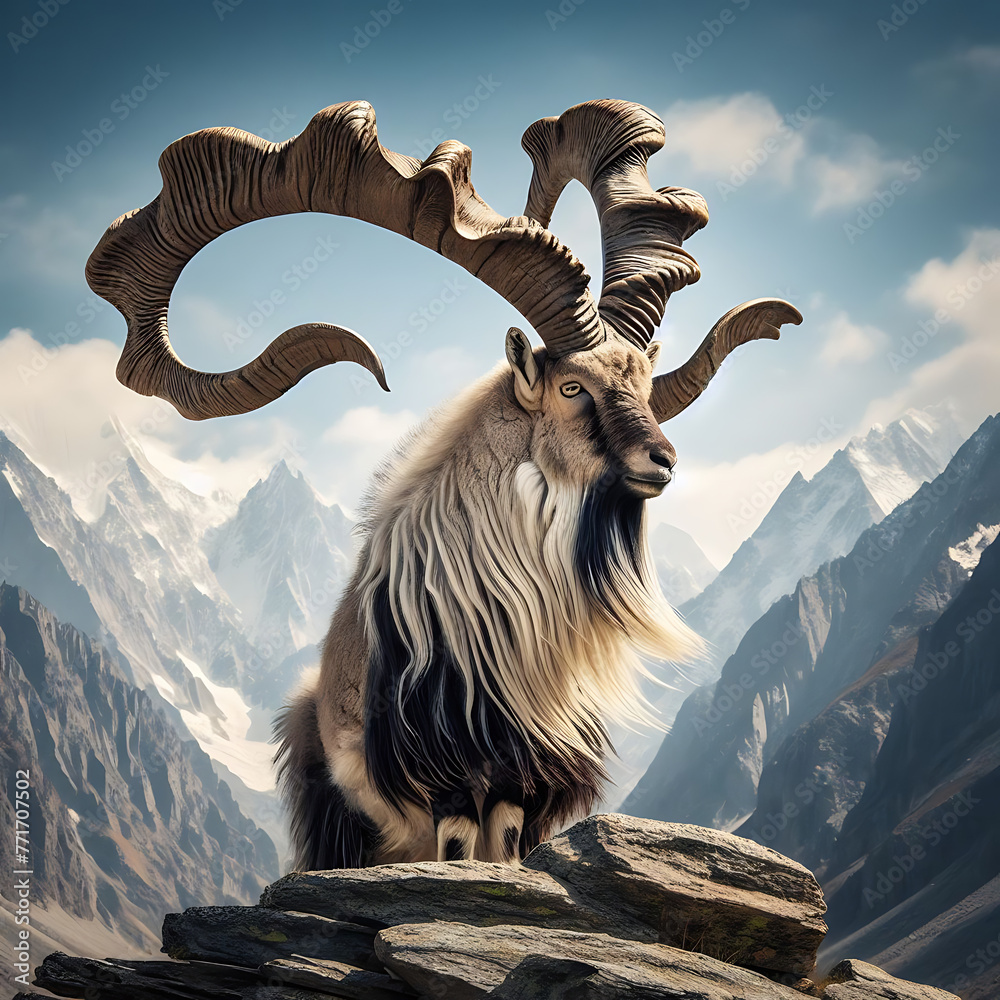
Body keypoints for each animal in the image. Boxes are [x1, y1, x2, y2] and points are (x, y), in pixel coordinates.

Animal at [86, 99, 801, 868]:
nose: (662, 460)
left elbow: (507, 848)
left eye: (641, 383)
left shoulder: (525, 778)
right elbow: (456, 850)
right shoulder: (443, 782)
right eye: (572, 387)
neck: (499, 623)